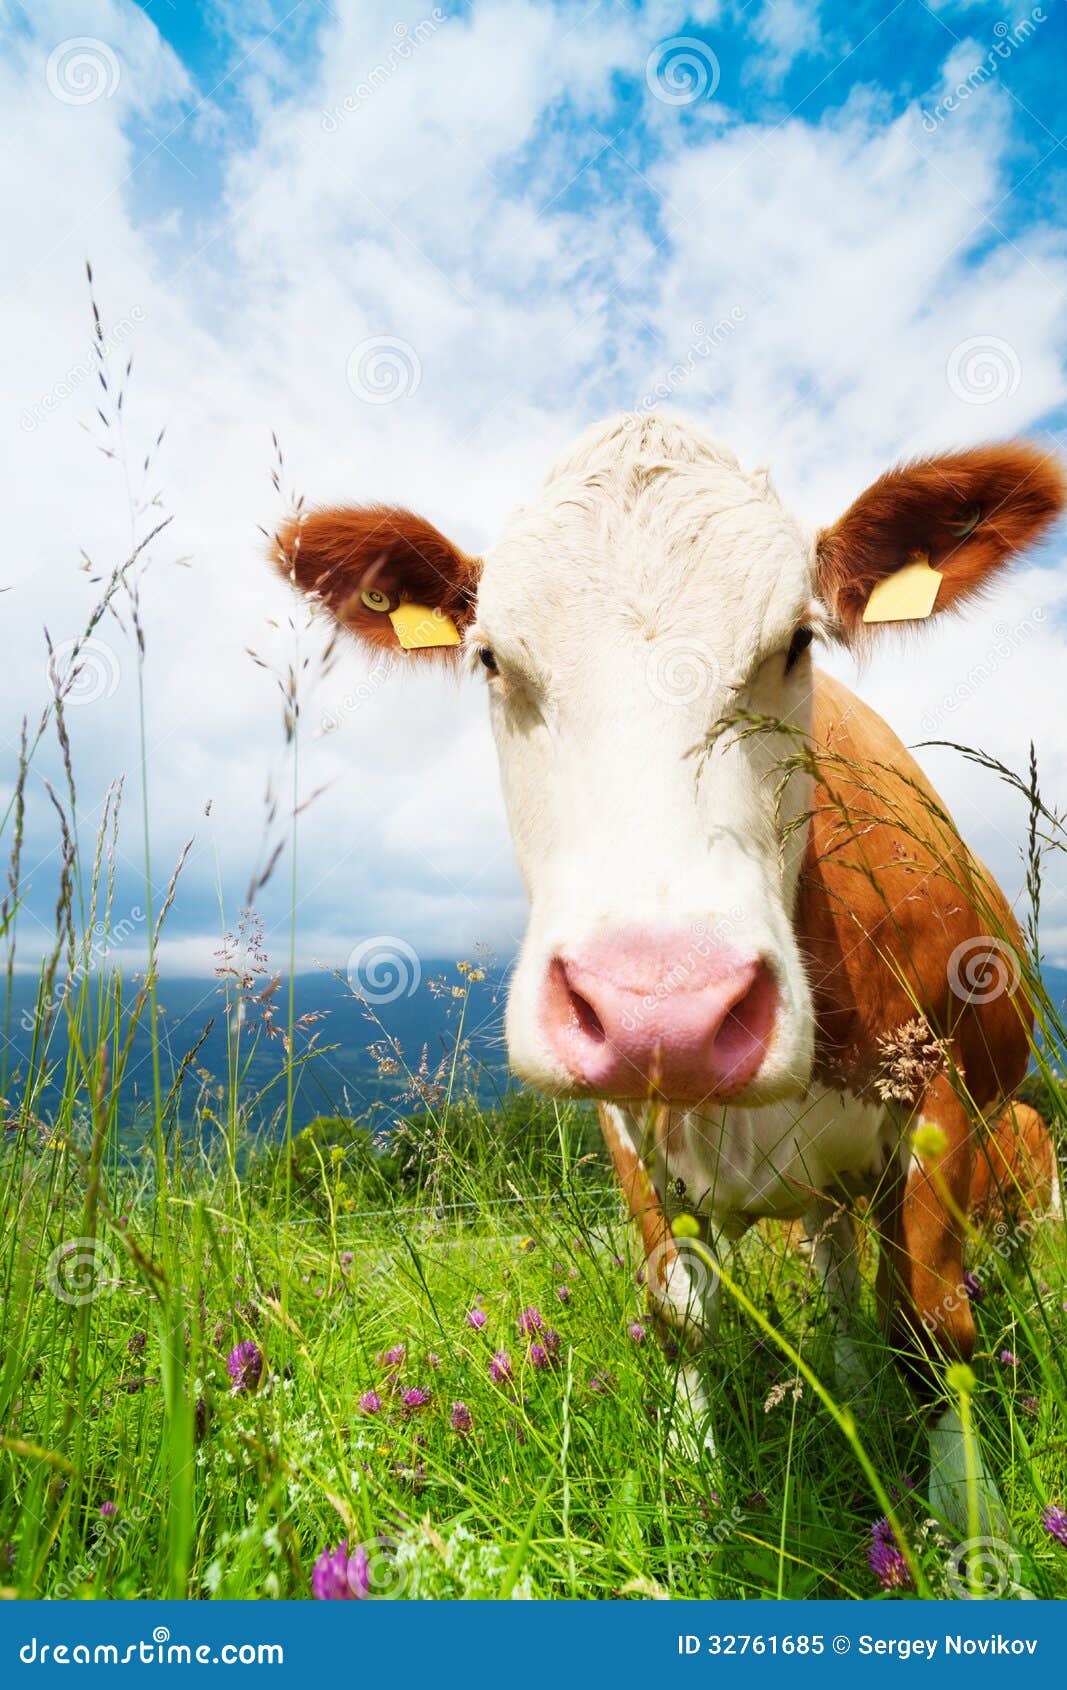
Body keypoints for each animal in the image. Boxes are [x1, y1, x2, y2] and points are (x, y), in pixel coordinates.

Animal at [271, 413, 1063, 1534]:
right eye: (490, 660)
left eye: (796, 642)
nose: (665, 1010)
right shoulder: (628, 1125)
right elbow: (680, 1313)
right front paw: (690, 1477)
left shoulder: (942, 1090)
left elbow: (931, 1317)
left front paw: (969, 1519)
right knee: (832, 1270)